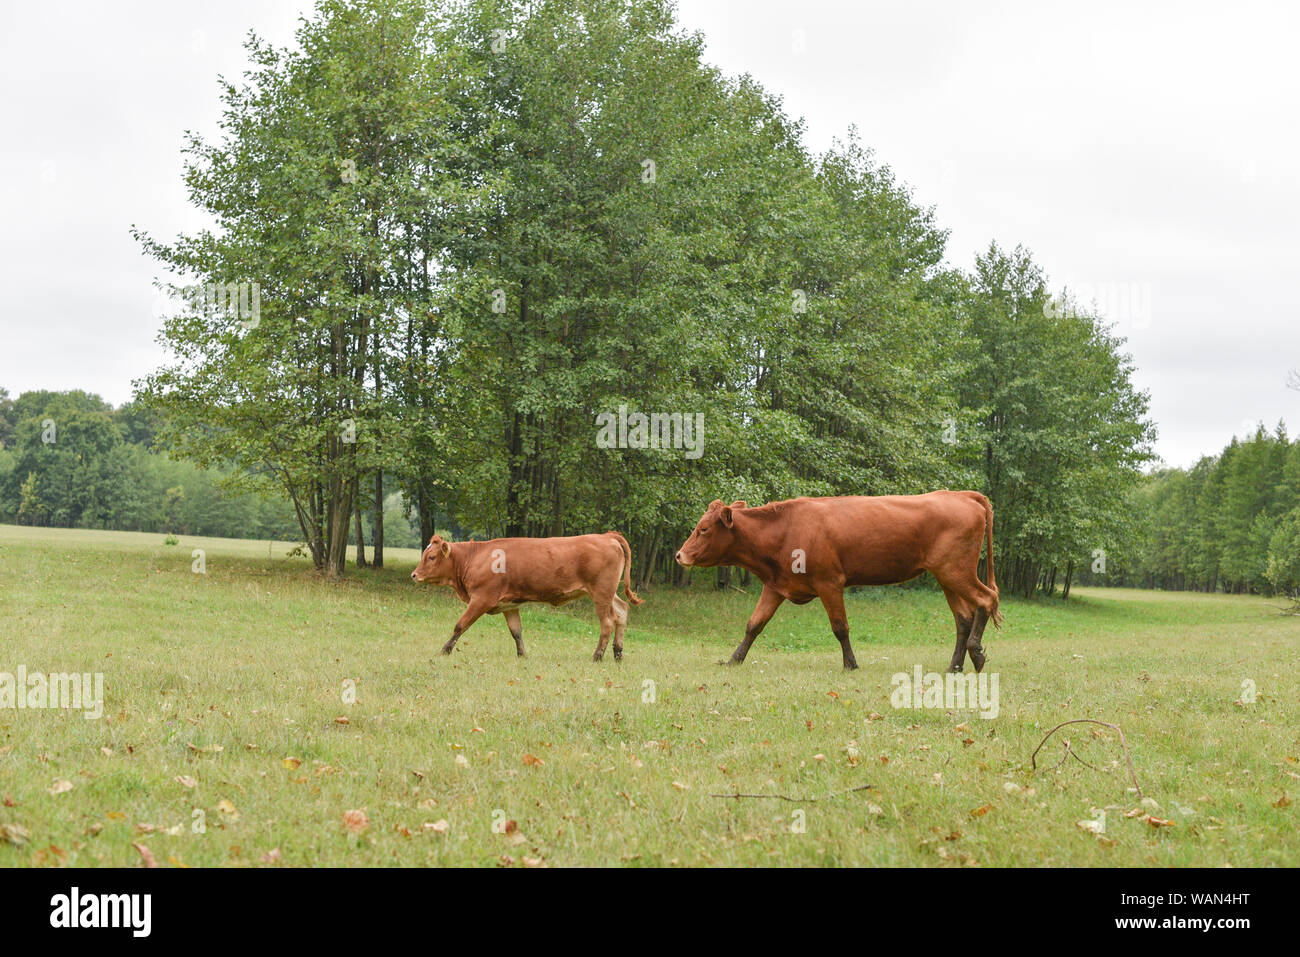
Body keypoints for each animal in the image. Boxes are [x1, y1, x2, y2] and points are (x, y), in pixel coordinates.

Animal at [411, 531, 643, 661]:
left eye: (431, 557)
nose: (414, 574)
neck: (475, 557)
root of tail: (606, 536)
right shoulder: (509, 605)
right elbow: (516, 632)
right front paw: (522, 655)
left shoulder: (481, 599)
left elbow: (460, 626)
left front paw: (444, 651)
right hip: (608, 593)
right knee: (622, 612)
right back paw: (618, 654)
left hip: (601, 592)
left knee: (608, 622)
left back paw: (597, 656)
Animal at [675, 492, 1001, 672]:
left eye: (703, 529)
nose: (679, 555)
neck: (785, 529)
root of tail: (961, 495)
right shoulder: (775, 586)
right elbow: (754, 625)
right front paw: (734, 660)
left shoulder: (829, 582)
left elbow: (840, 628)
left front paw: (850, 664)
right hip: (947, 576)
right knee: (963, 618)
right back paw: (955, 666)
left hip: (956, 571)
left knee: (986, 599)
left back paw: (976, 653)